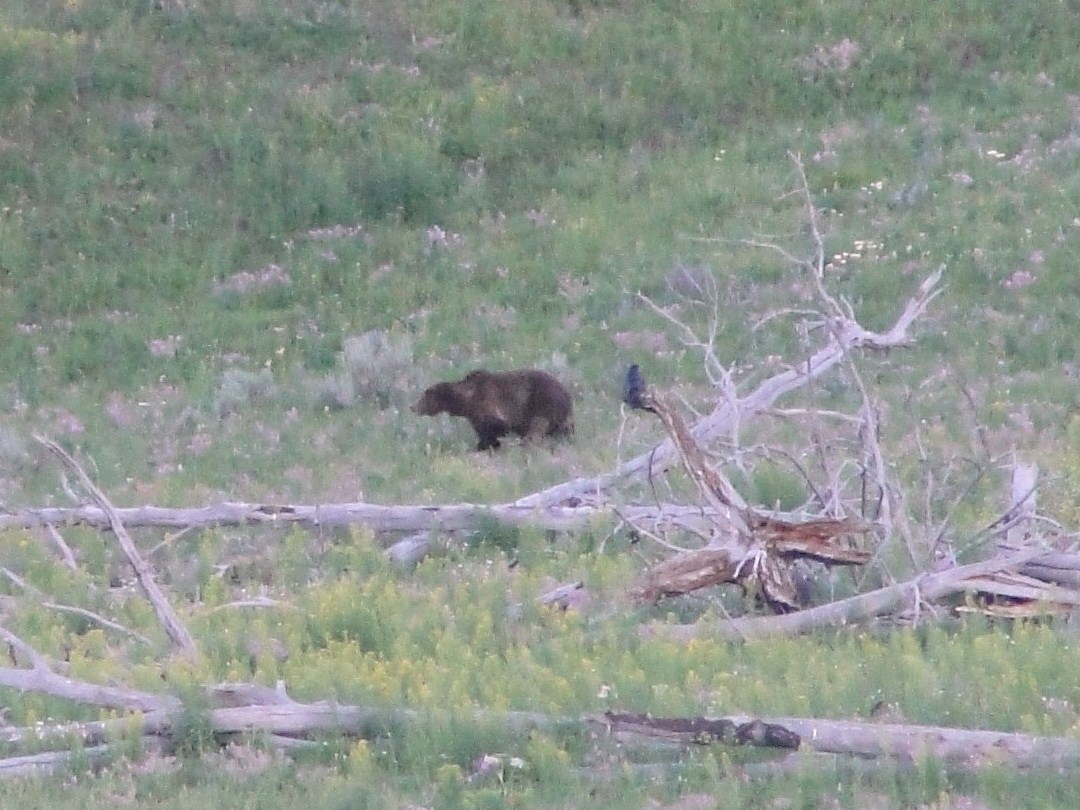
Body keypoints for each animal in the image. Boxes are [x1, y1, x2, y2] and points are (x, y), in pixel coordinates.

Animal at [411, 369, 574, 451]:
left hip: (542, 402)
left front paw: (481, 446)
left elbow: (492, 429)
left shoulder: (487, 405)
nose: (412, 407)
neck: (466, 401)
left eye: (424, 397)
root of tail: (566, 392)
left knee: (538, 426)